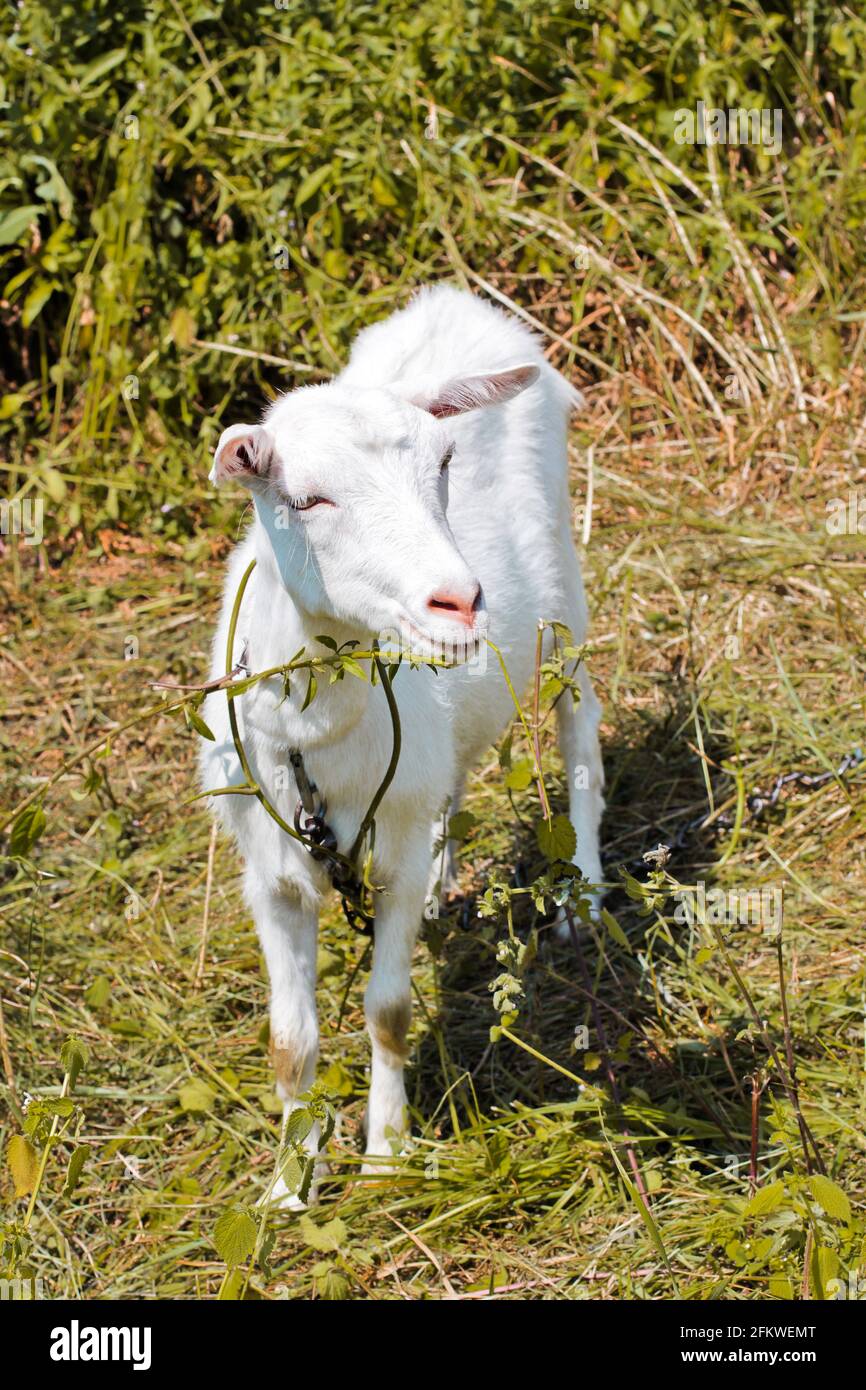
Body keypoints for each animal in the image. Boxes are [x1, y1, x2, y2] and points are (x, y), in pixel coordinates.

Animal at [200, 285, 605, 1203]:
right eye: (306, 499)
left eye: (444, 464)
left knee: (581, 735)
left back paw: (585, 898)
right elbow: (289, 1041)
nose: (458, 601)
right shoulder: (269, 877)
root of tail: (453, 301)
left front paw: (386, 1158)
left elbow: (387, 1010)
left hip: (564, 596)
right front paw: (290, 1186)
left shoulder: (390, 854)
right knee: (453, 780)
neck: (320, 744)